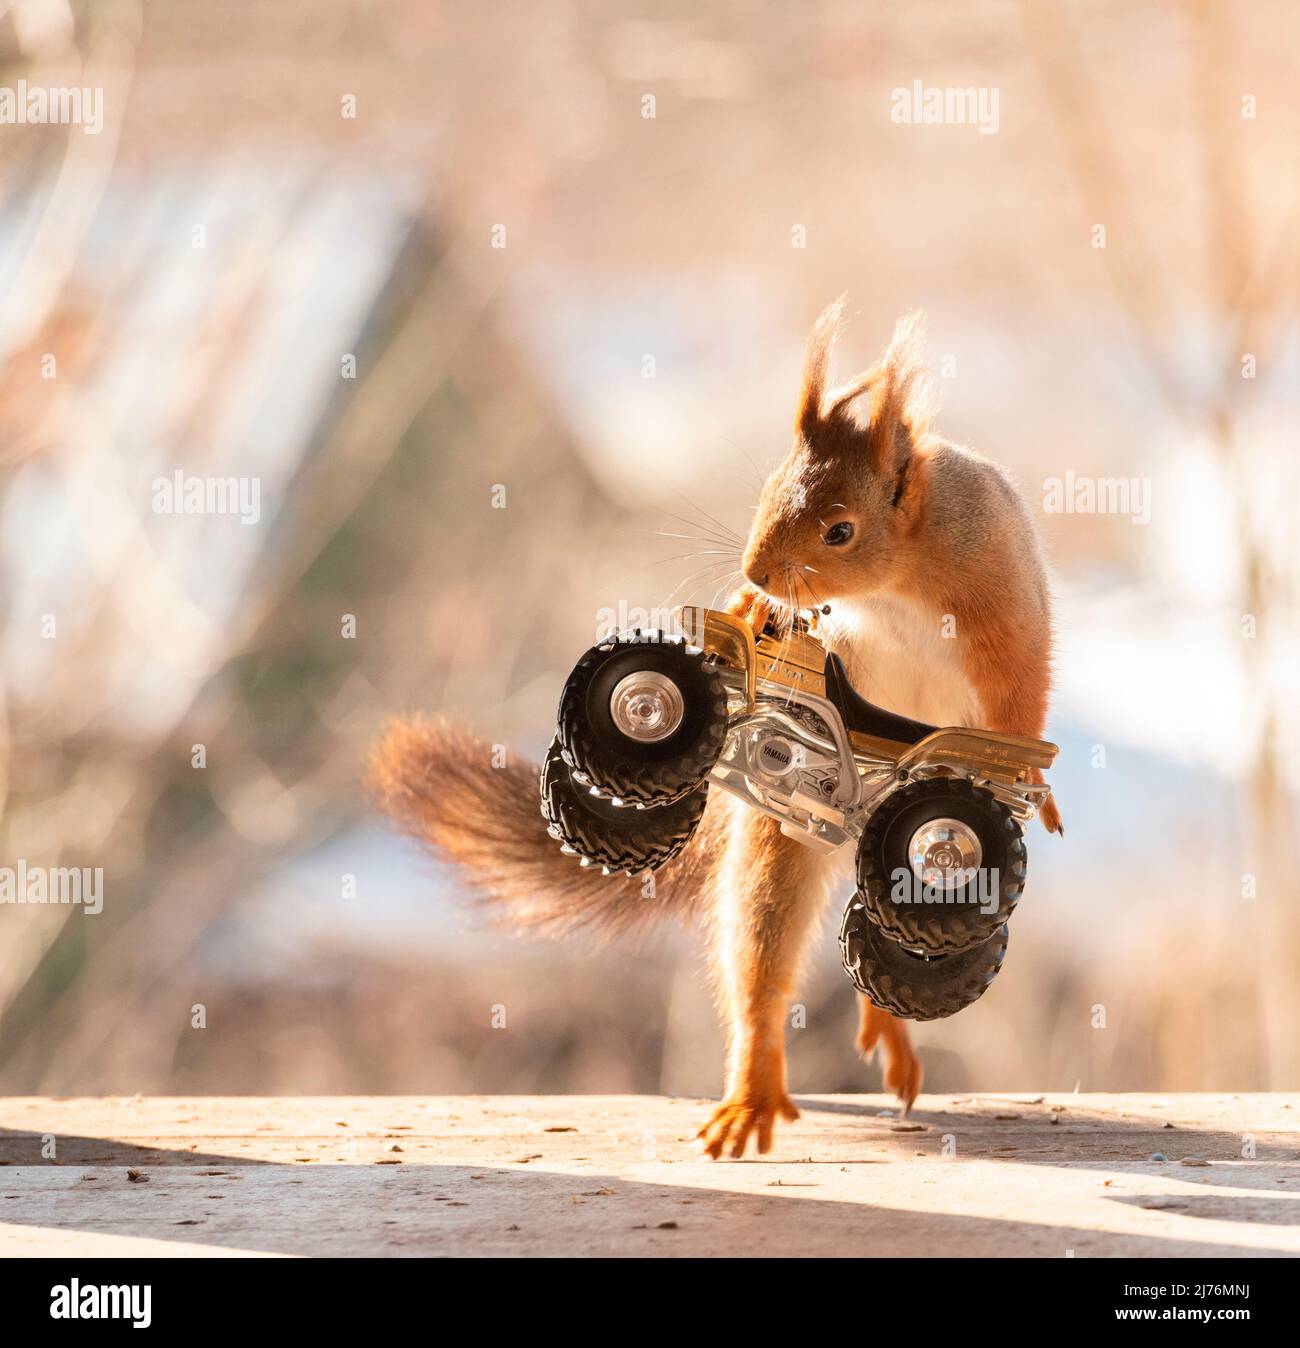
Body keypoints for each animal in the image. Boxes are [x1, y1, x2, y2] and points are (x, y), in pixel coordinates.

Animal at [368, 299, 1061, 1160]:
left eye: (840, 530)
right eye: (767, 486)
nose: (758, 571)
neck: (898, 584)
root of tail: (856, 822)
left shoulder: (1002, 611)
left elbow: (1024, 701)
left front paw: (1040, 786)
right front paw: (744, 607)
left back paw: (885, 1022)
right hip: (775, 848)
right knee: (764, 959)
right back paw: (755, 1092)